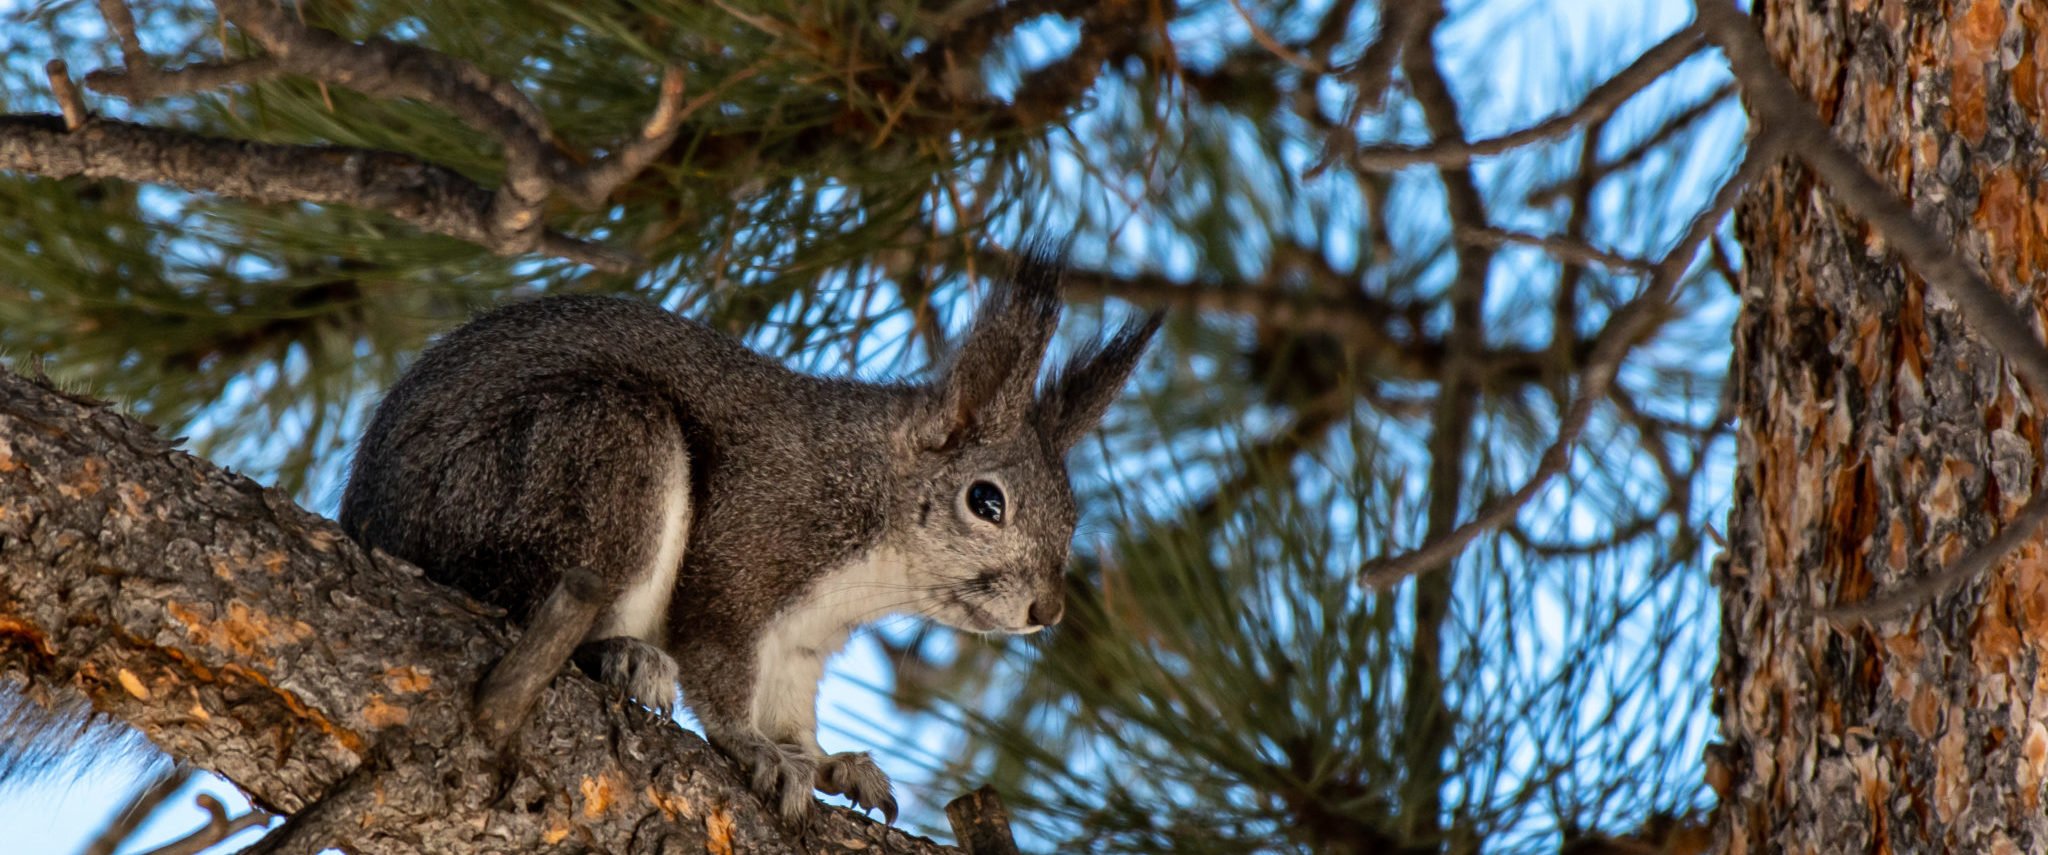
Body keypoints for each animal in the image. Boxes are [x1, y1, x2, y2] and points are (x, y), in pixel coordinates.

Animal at [336, 250, 1162, 825]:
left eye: (1073, 516)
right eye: (985, 500)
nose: (1048, 610)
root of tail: (369, 518)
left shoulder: (799, 646)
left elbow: (793, 712)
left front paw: (828, 762)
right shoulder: (748, 546)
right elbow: (719, 663)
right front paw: (756, 750)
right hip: (590, 454)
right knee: (519, 596)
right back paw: (621, 653)